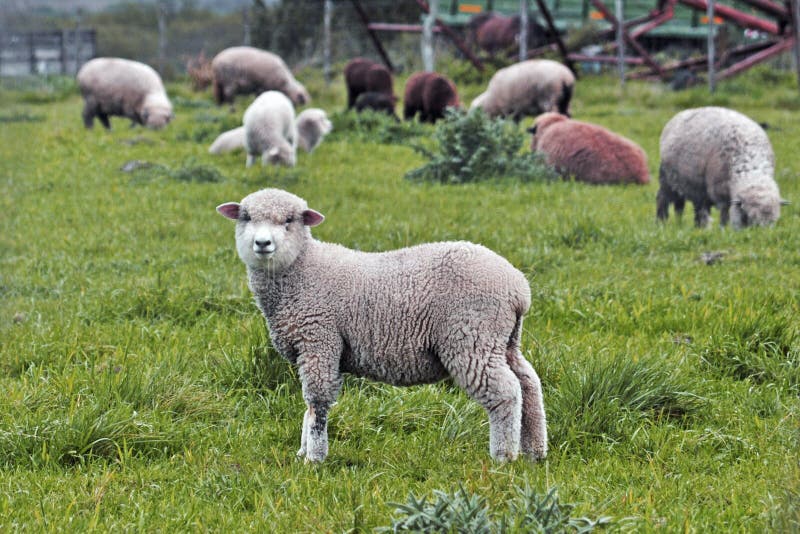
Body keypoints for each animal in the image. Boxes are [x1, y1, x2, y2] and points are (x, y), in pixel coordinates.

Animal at [216, 188, 547, 464]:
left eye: (288, 220)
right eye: (246, 217)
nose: (262, 243)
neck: (301, 269)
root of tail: (518, 288)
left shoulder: (319, 340)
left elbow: (317, 404)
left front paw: (314, 458)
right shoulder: (309, 348)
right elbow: (308, 408)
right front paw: (301, 452)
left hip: (472, 336)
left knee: (506, 393)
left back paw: (504, 456)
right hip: (502, 340)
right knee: (529, 383)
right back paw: (535, 451)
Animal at [658, 106, 787, 228]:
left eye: (774, 221)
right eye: (748, 216)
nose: (761, 233)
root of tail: (685, 112)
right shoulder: (721, 193)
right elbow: (724, 215)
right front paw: (723, 229)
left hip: (694, 187)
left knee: (686, 207)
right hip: (668, 179)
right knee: (663, 199)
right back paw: (661, 222)